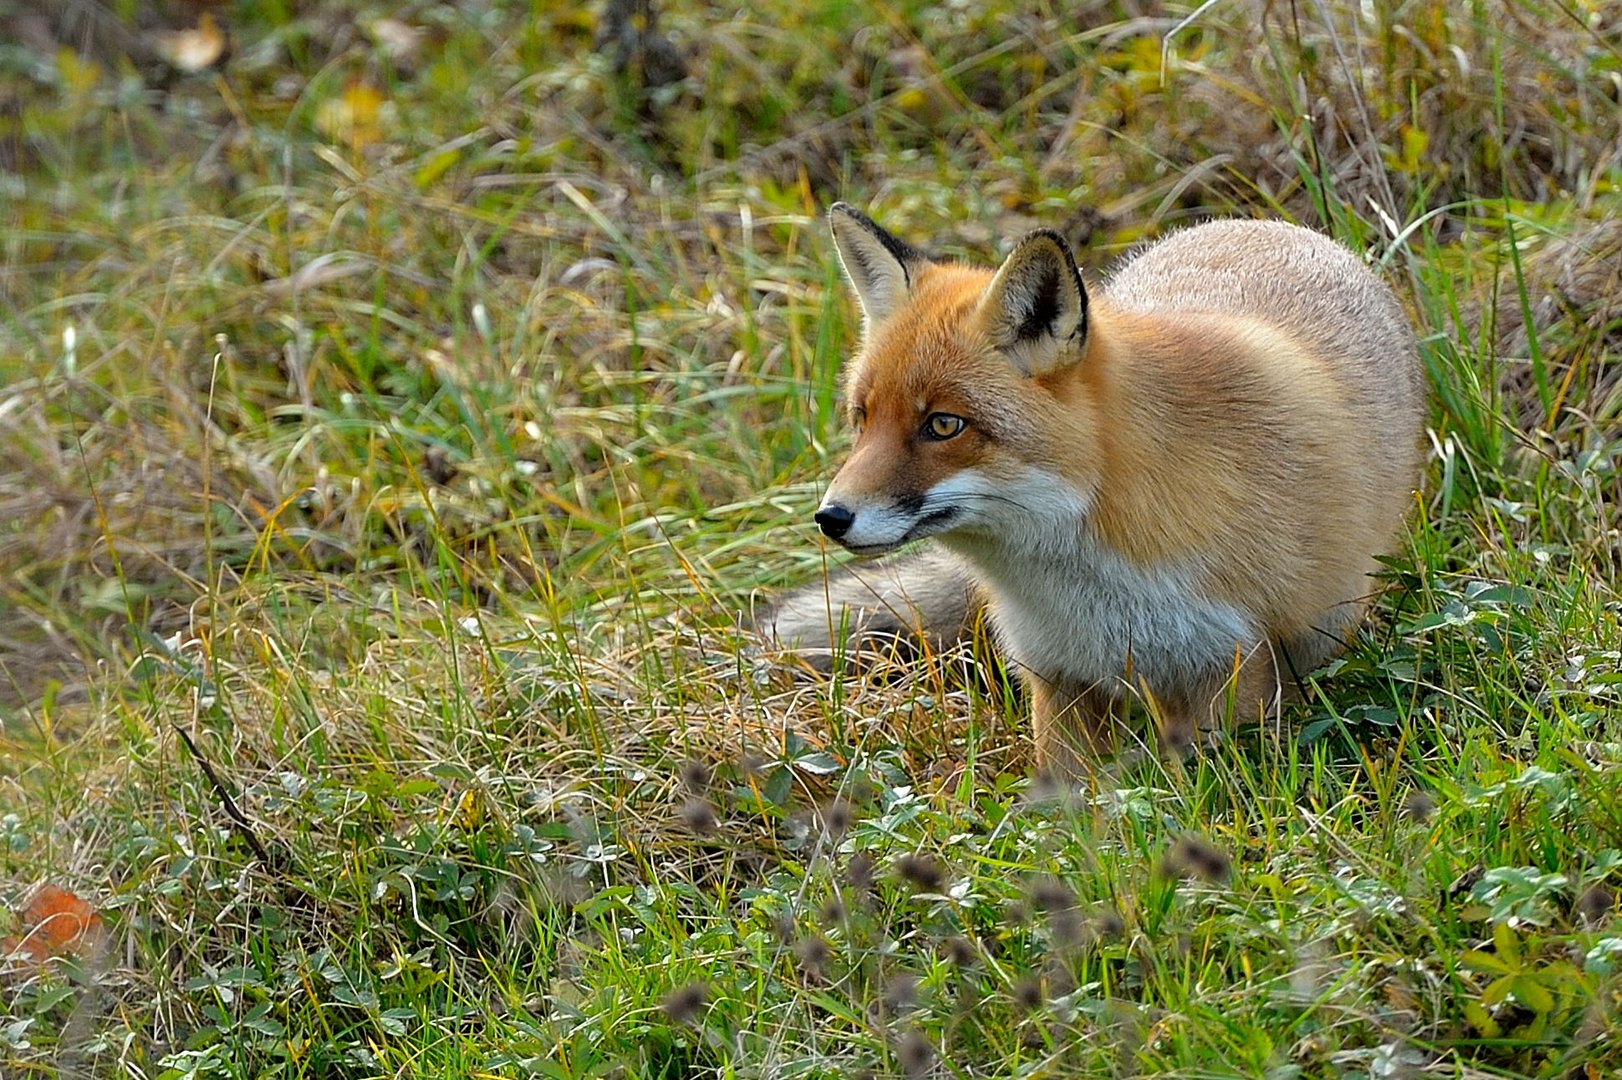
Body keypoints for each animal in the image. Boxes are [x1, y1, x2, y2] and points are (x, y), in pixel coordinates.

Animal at [760, 203, 1427, 774]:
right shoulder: (1057, 674)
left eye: (943, 425)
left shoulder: (1235, 666)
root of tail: (1264, 224)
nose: (831, 517)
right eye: (862, 417)